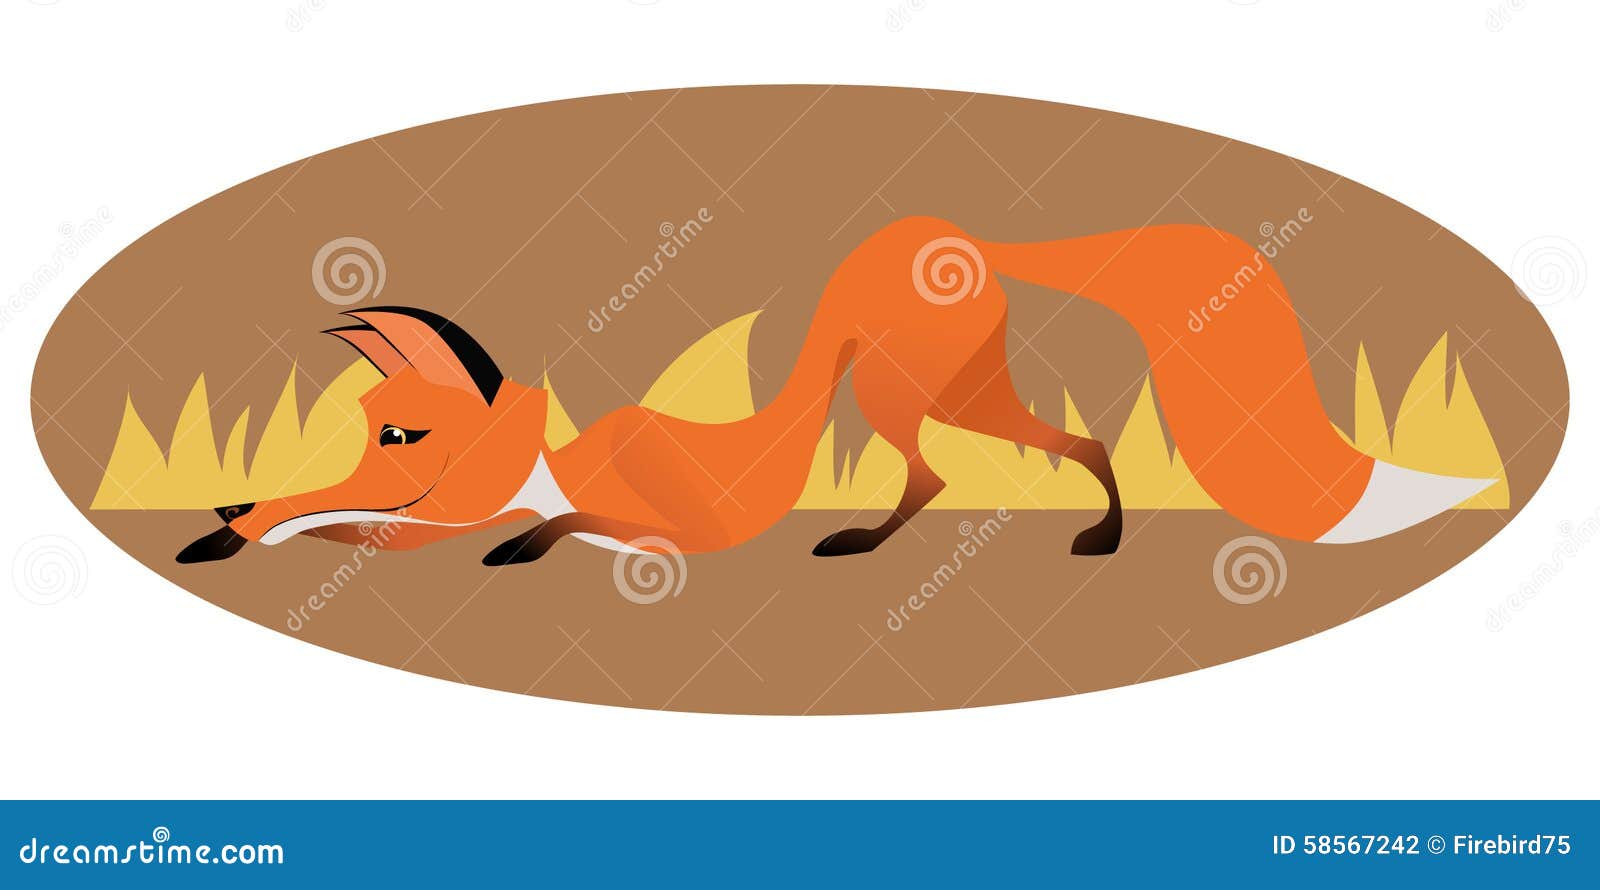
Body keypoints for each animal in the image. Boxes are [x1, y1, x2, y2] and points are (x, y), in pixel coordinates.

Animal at [177, 216, 1496, 565]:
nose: (223, 511)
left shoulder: (681, 530)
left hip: (913, 395)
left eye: (405, 426)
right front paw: (251, 530)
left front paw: (529, 545)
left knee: (996, 459)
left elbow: (566, 523)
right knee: (1025, 449)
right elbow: (361, 526)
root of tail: (957, 236)